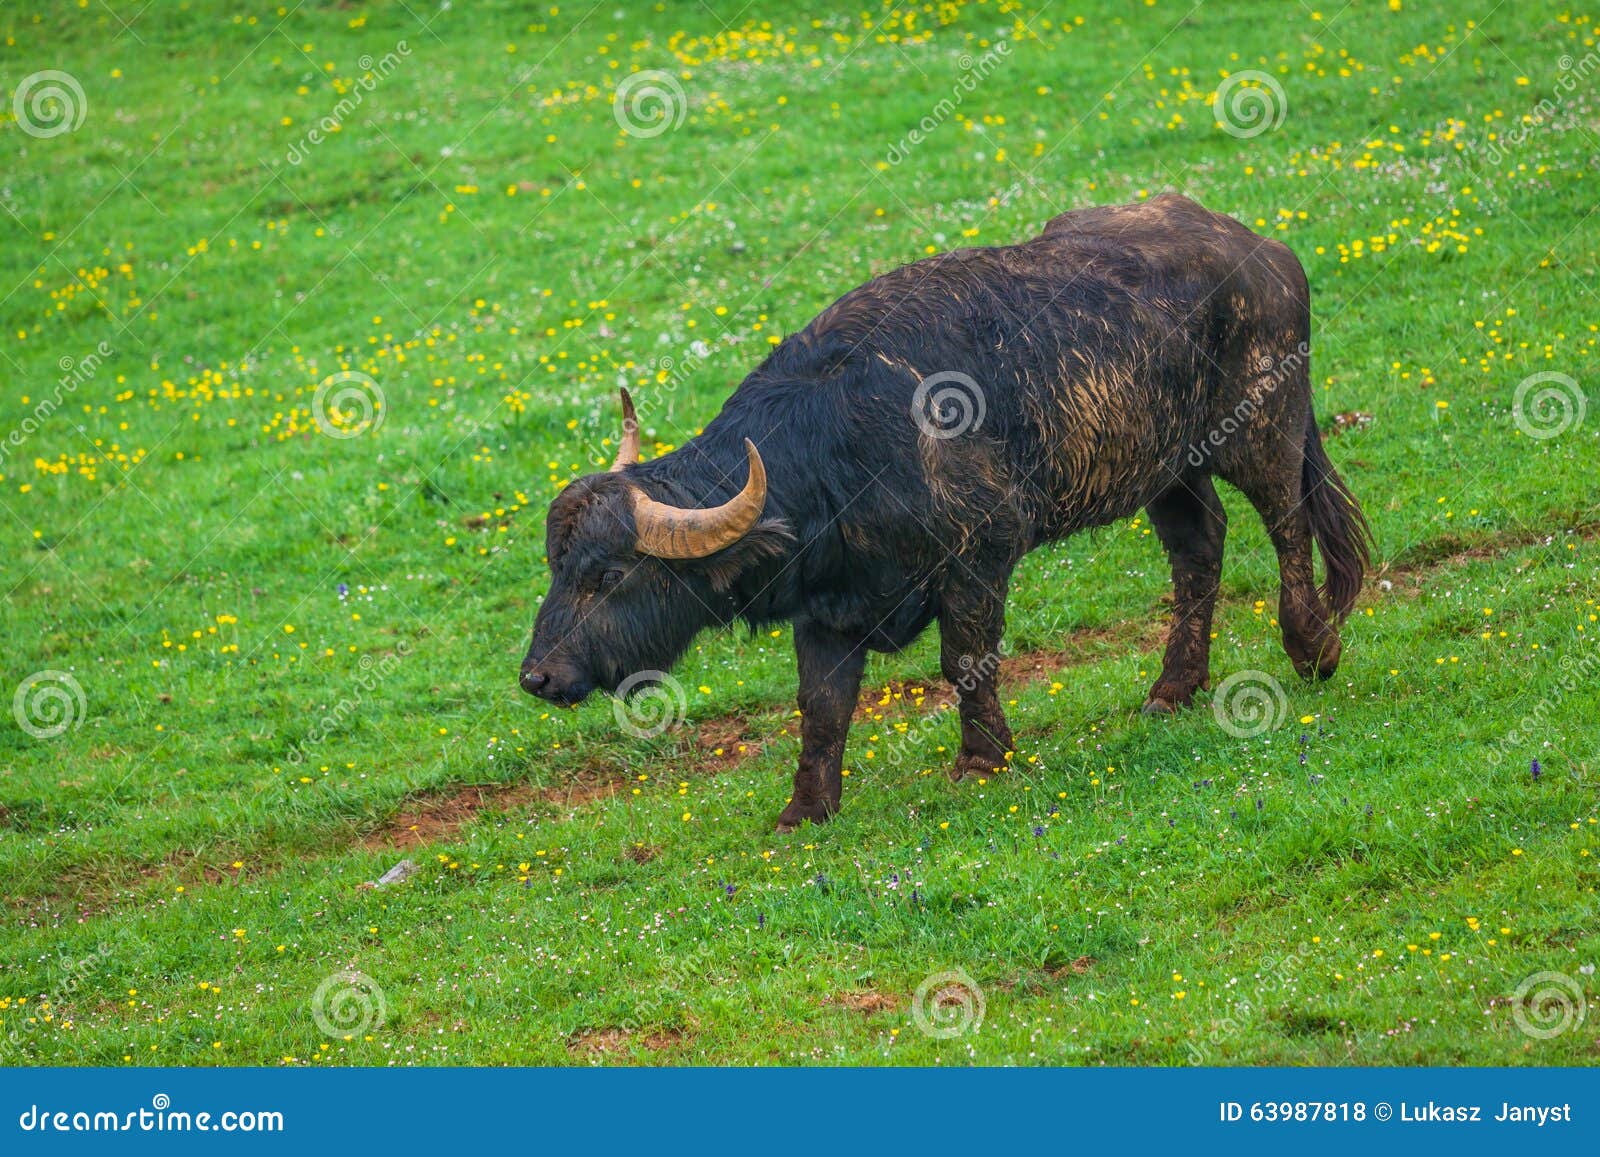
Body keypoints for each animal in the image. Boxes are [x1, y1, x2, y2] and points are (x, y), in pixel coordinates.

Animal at [520, 193, 1372, 831]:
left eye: (609, 574)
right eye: (558, 568)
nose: (537, 674)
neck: (839, 443)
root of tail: (1263, 248)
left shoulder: (981, 553)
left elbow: (965, 659)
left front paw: (982, 758)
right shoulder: (827, 609)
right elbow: (821, 707)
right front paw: (804, 809)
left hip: (1264, 427)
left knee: (1288, 522)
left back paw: (1313, 647)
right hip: (1169, 469)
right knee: (1201, 549)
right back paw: (1174, 687)